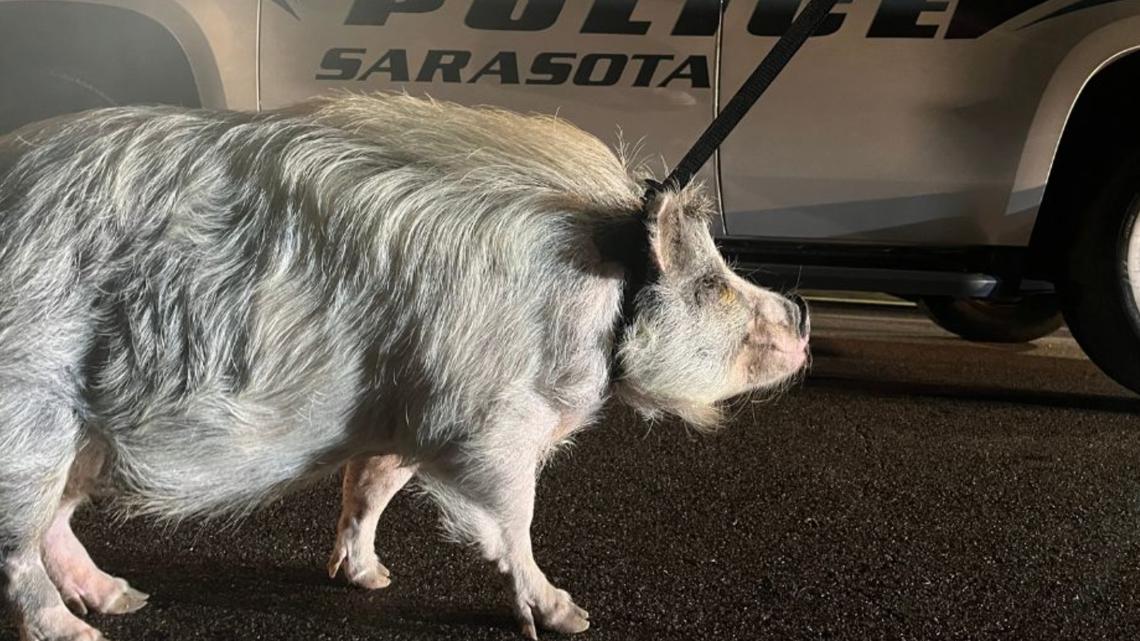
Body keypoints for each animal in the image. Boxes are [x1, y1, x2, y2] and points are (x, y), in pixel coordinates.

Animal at [0, 93, 809, 641]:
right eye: (710, 285)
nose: (801, 313)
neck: (598, 301)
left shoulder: (409, 417)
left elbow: (371, 488)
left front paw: (369, 578)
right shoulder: (485, 422)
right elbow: (511, 521)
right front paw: (568, 616)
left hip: (81, 443)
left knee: (51, 528)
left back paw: (122, 598)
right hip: (30, 419)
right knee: (17, 552)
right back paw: (81, 629)